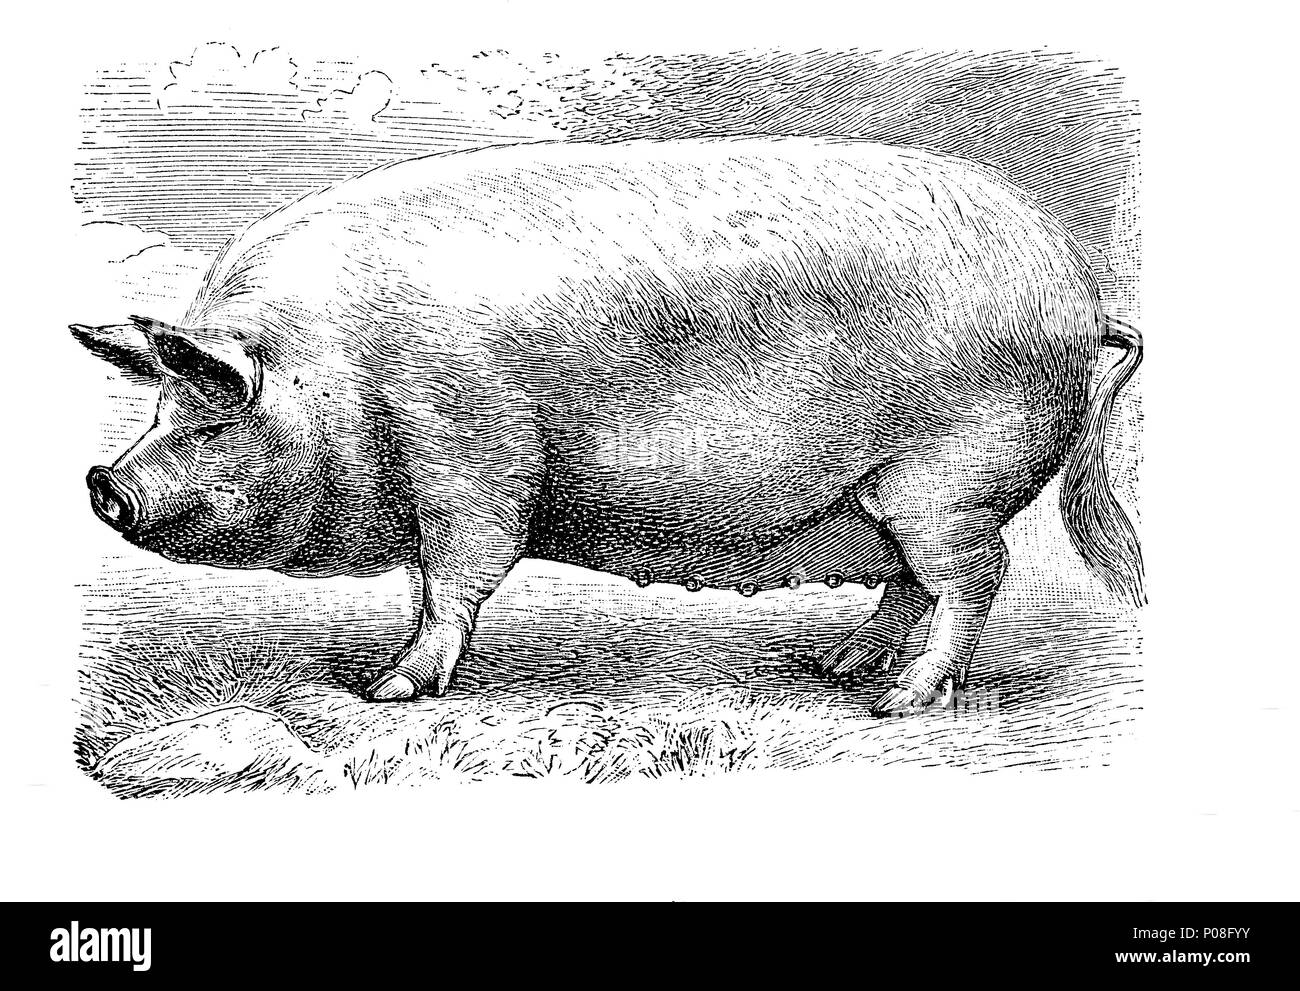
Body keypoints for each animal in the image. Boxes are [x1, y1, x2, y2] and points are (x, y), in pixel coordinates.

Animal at [72, 136, 1143, 715]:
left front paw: (389, 690)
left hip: (946, 481)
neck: (342, 375)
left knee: (975, 575)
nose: (101, 480)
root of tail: (1082, 299)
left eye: (216, 415)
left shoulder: (473, 468)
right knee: (913, 584)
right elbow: (430, 581)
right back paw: (833, 664)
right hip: (886, 496)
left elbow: (454, 582)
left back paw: (897, 701)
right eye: (159, 405)